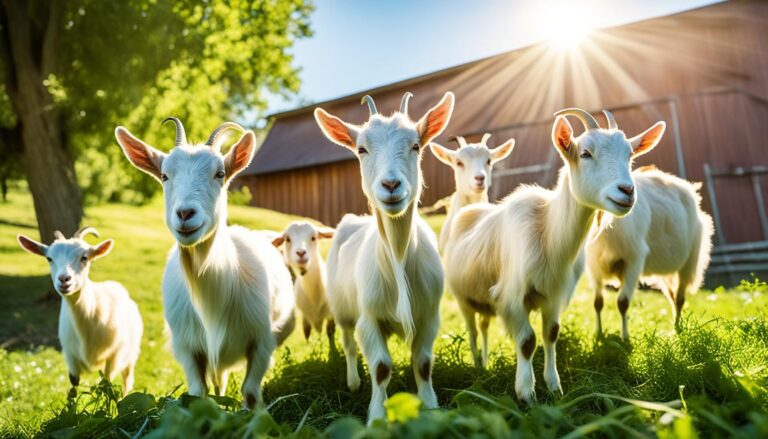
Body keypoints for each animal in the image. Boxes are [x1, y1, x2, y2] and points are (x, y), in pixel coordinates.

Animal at [17, 227, 142, 394]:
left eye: (84, 257)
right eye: (49, 258)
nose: (64, 279)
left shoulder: (114, 356)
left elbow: (107, 386)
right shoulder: (70, 355)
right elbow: (73, 388)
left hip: (131, 353)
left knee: (127, 382)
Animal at [115, 118, 295, 409]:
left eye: (219, 173)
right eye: (164, 176)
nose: (185, 213)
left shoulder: (261, 341)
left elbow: (250, 390)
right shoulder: (187, 347)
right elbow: (198, 392)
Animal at [315, 92, 453, 423]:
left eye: (416, 145)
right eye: (361, 149)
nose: (391, 185)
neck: (399, 257)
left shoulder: (430, 315)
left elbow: (423, 363)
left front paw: (430, 406)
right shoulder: (369, 319)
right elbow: (381, 368)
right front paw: (377, 415)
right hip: (343, 309)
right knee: (348, 342)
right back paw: (353, 381)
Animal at [443, 109, 665, 402]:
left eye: (630, 154)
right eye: (585, 153)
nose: (627, 191)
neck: (547, 233)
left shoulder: (555, 295)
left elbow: (551, 334)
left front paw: (553, 386)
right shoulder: (512, 296)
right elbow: (527, 341)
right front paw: (526, 393)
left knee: (484, 325)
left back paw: (485, 363)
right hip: (461, 297)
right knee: (471, 330)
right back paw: (478, 365)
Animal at [586, 161, 714, 340]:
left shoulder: (634, 261)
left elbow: (622, 303)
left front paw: (625, 338)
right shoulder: (594, 266)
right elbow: (597, 303)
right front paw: (598, 334)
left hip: (689, 262)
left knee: (680, 297)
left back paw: (677, 330)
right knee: (672, 296)